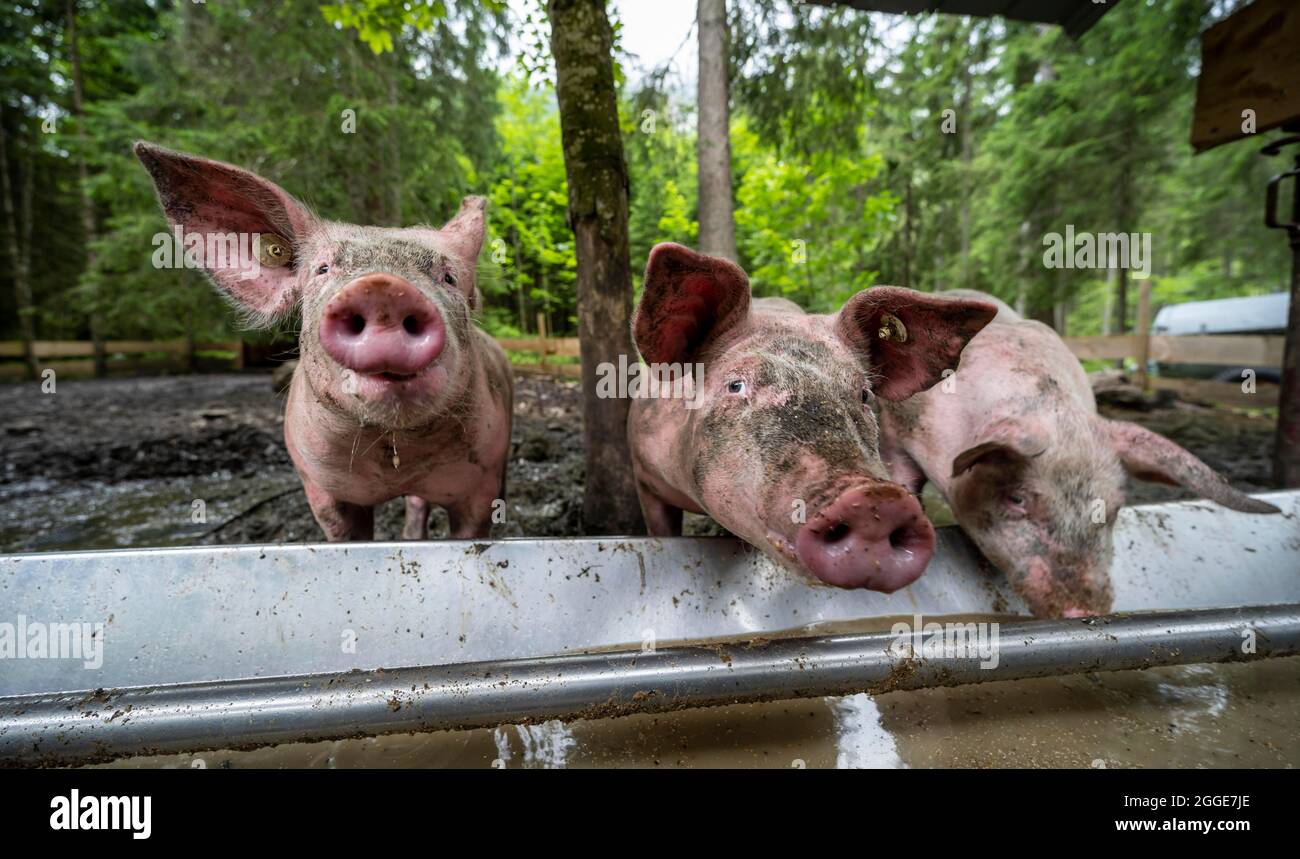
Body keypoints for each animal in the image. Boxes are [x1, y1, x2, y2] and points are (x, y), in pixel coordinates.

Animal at [135, 142, 512, 540]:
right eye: (323, 269)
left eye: (448, 277)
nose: (383, 288)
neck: (393, 450)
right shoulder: (319, 486)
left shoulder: (481, 480)